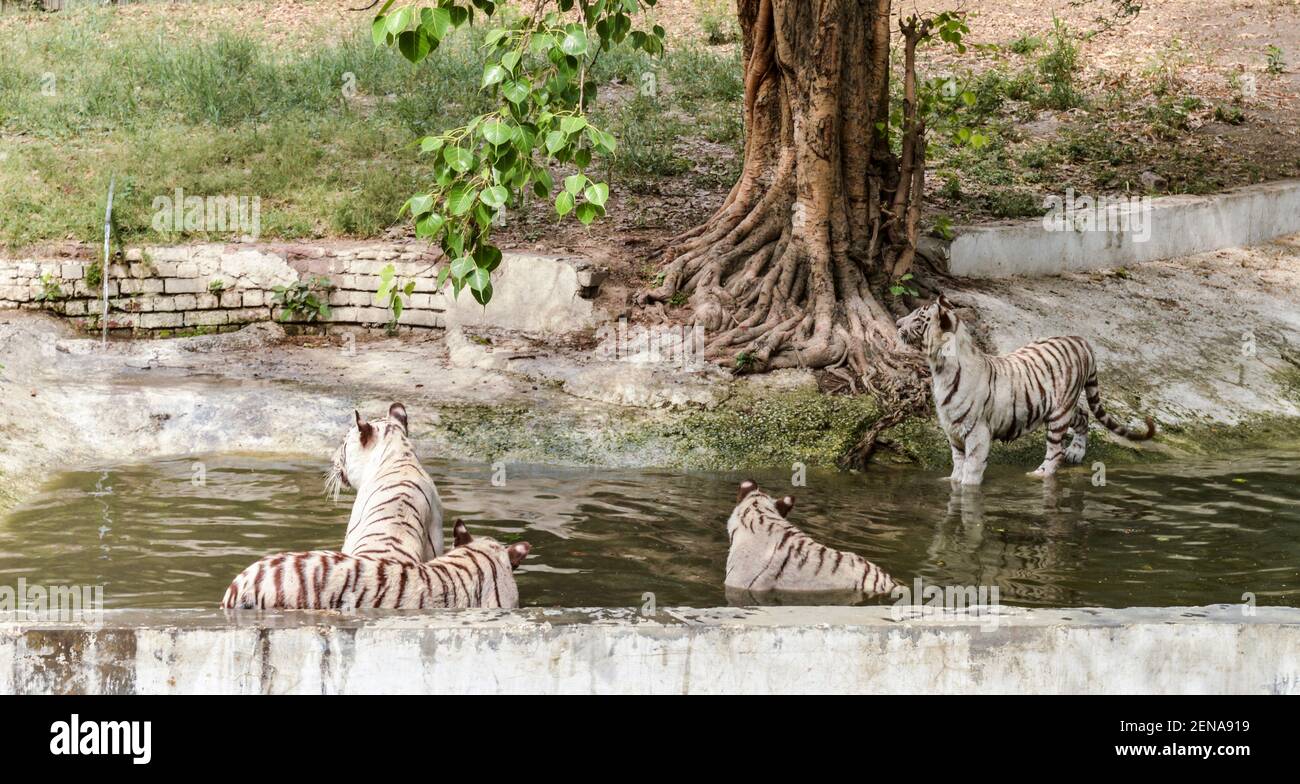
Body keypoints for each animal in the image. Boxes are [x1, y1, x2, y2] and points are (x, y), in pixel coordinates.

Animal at [895, 294, 1156, 485]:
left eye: (918, 318)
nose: (897, 323)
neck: (940, 368)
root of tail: (1081, 340)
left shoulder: (977, 432)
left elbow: (971, 470)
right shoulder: (953, 431)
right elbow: (957, 465)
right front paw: (951, 481)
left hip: (1059, 413)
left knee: (1055, 451)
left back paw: (1039, 473)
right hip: (1059, 407)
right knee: (1083, 415)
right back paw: (1076, 453)